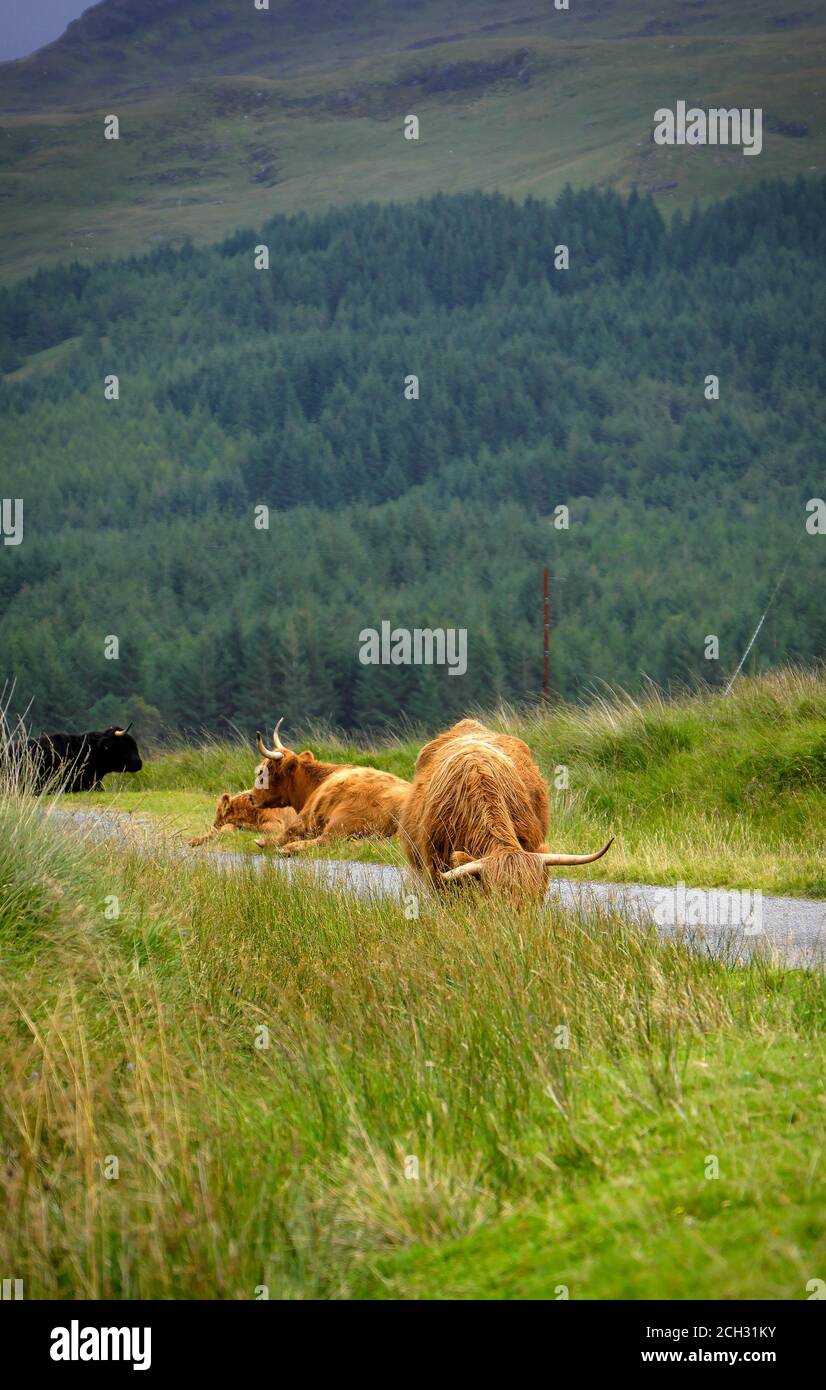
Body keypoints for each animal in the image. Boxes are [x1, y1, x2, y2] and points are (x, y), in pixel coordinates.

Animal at [251, 719, 409, 854]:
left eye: (267, 771)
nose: (251, 797)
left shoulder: (305, 816)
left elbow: (287, 832)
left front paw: (264, 842)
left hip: (342, 819)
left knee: (326, 841)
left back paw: (288, 848)